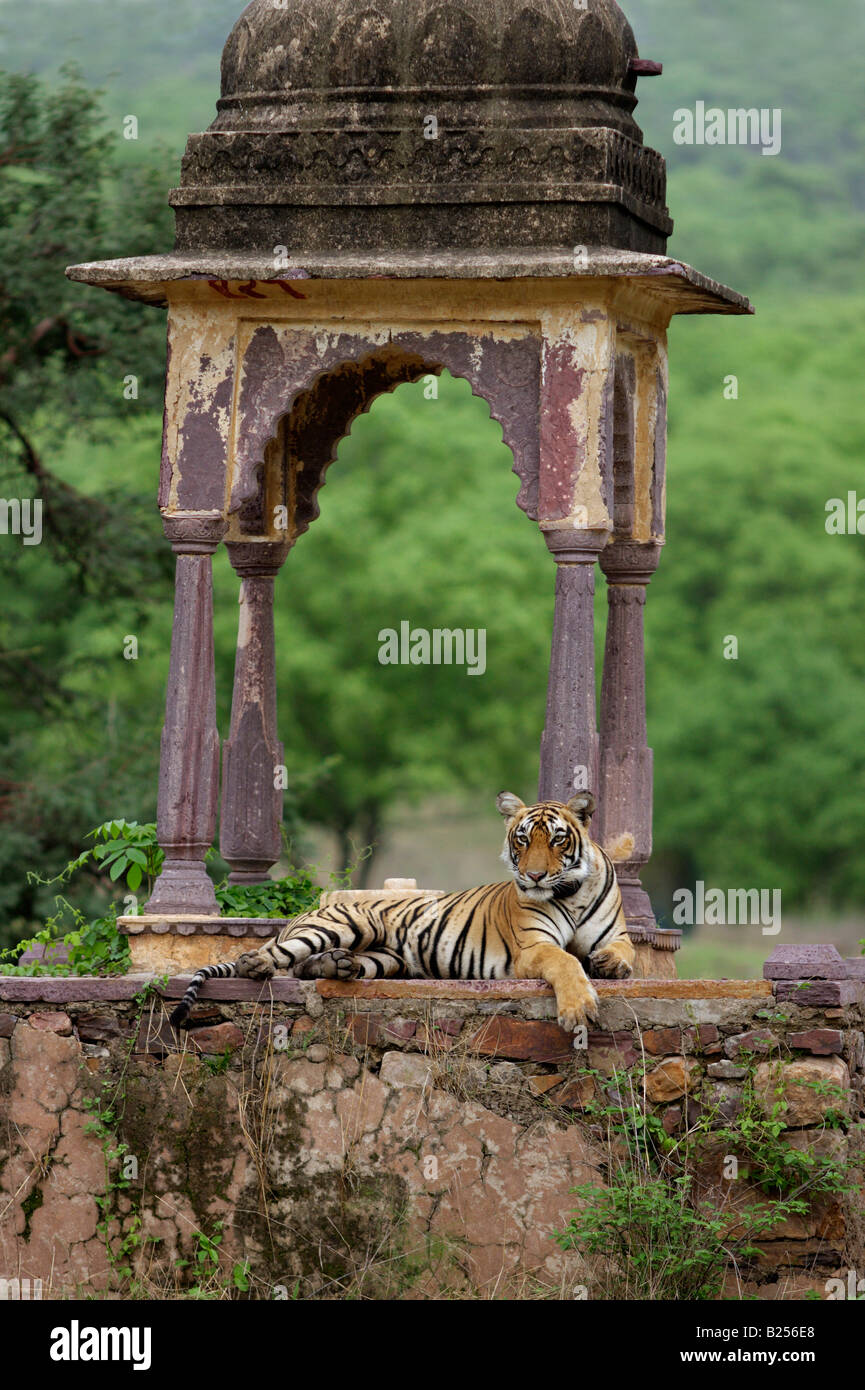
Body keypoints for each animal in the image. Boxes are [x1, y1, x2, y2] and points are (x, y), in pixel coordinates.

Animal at [169, 790, 634, 1036]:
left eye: (556, 840)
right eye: (521, 840)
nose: (534, 875)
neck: (572, 893)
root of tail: (306, 911)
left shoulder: (617, 936)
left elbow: (624, 953)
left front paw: (609, 966)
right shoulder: (533, 948)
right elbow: (566, 961)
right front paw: (578, 1008)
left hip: (386, 958)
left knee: (308, 966)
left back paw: (336, 966)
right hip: (349, 923)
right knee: (268, 957)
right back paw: (262, 963)